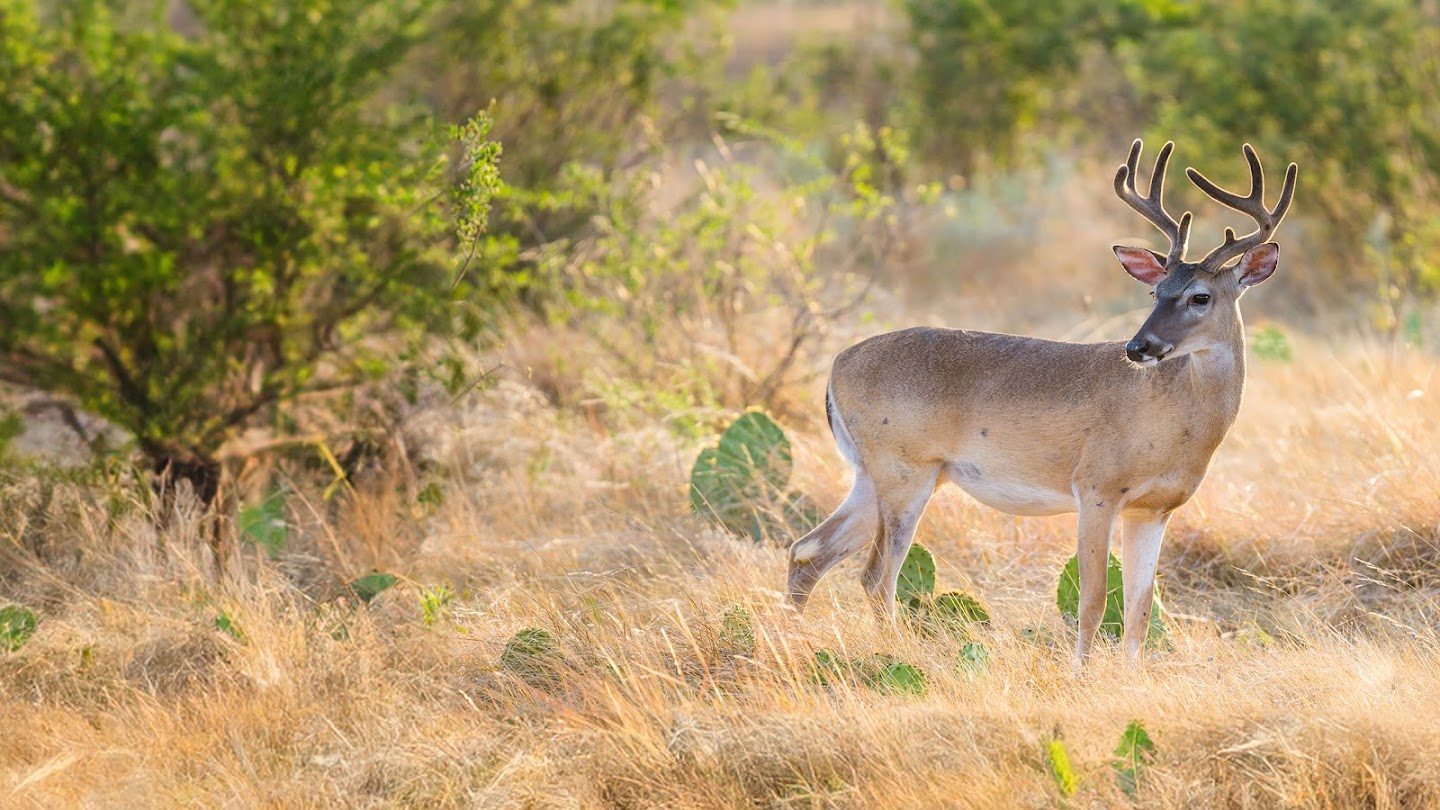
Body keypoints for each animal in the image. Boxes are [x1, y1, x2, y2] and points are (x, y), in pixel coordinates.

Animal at [783, 138, 1301, 662]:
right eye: (1155, 290)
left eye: (1199, 297)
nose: (1137, 347)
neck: (1178, 422)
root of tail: (837, 365)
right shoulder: (1096, 486)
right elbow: (1094, 601)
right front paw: (1081, 674)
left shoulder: (1154, 509)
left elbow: (1139, 609)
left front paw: (1131, 676)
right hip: (904, 468)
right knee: (875, 576)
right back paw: (895, 655)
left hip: (877, 473)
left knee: (808, 551)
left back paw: (794, 637)